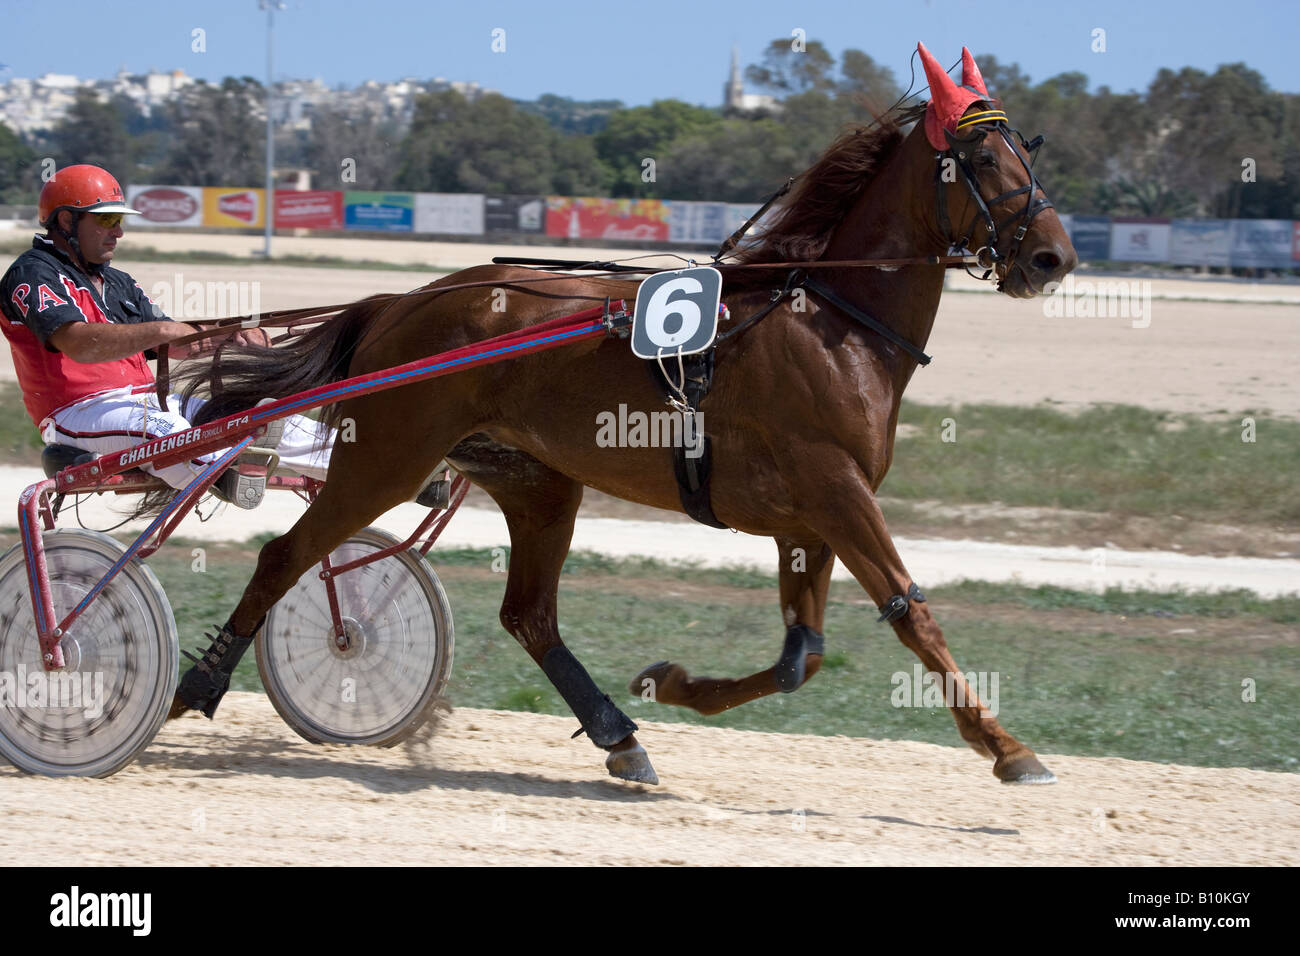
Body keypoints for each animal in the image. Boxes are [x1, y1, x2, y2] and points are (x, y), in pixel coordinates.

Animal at [168, 44, 1077, 786]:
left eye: (1025, 150)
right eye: (978, 156)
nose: (1054, 257)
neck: (830, 320)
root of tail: (400, 302)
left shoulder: (811, 517)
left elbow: (802, 657)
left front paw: (671, 683)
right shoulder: (837, 492)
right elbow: (911, 613)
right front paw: (1010, 750)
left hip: (537, 483)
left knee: (529, 614)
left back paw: (619, 733)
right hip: (386, 459)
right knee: (285, 556)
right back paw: (195, 684)